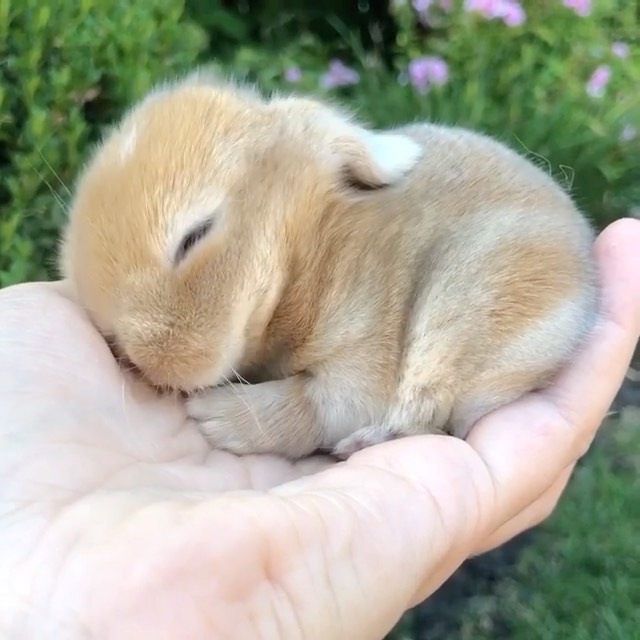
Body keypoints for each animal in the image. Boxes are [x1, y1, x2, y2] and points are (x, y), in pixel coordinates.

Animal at [59, 70, 599, 460]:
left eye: (196, 235)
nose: (153, 360)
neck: (311, 254)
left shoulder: (363, 358)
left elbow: (315, 405)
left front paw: (214, 417)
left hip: (468, 306)